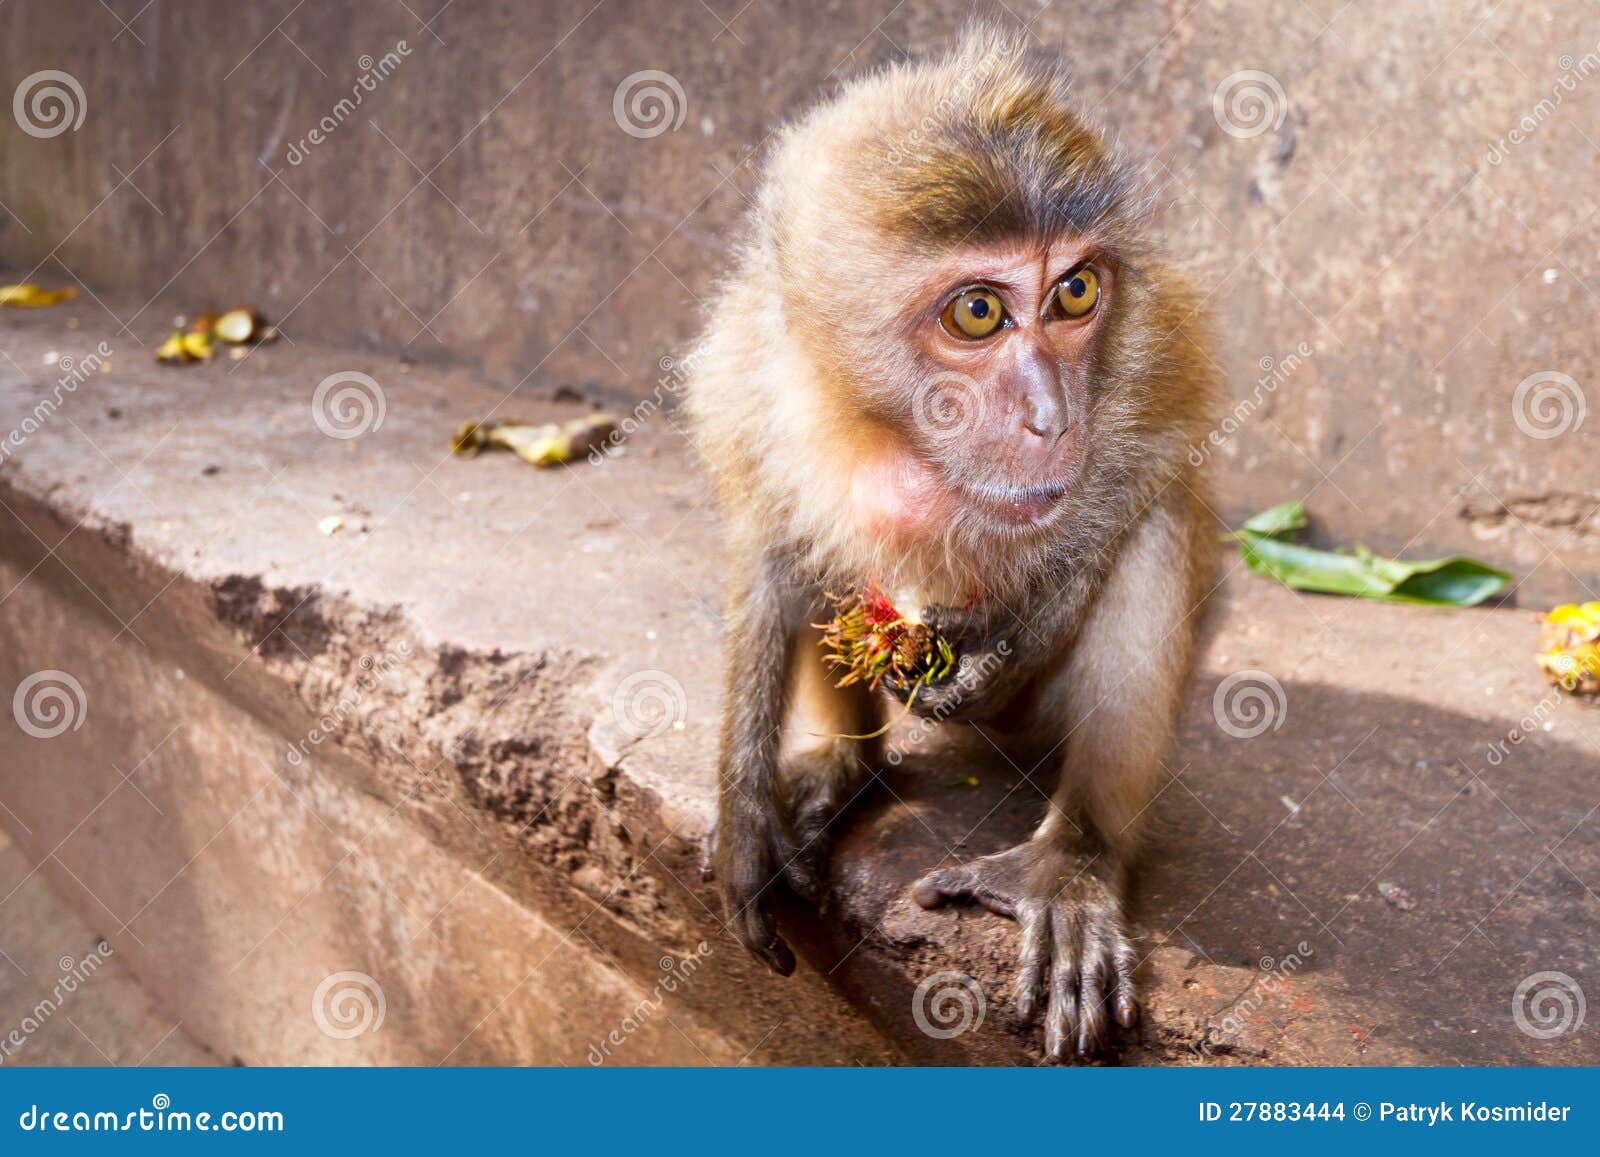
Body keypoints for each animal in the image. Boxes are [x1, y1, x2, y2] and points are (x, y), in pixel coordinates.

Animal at [683, 26, 1218, 1061]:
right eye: (978, 311)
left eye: (1076, 291)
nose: (1054, 418)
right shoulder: (751, 369)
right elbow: (768, 540)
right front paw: (744, 807)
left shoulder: (1148, 345)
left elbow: (1154, 470)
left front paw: (1004, 646)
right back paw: (848, 765)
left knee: (1154, 531)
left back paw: (1072, 859)